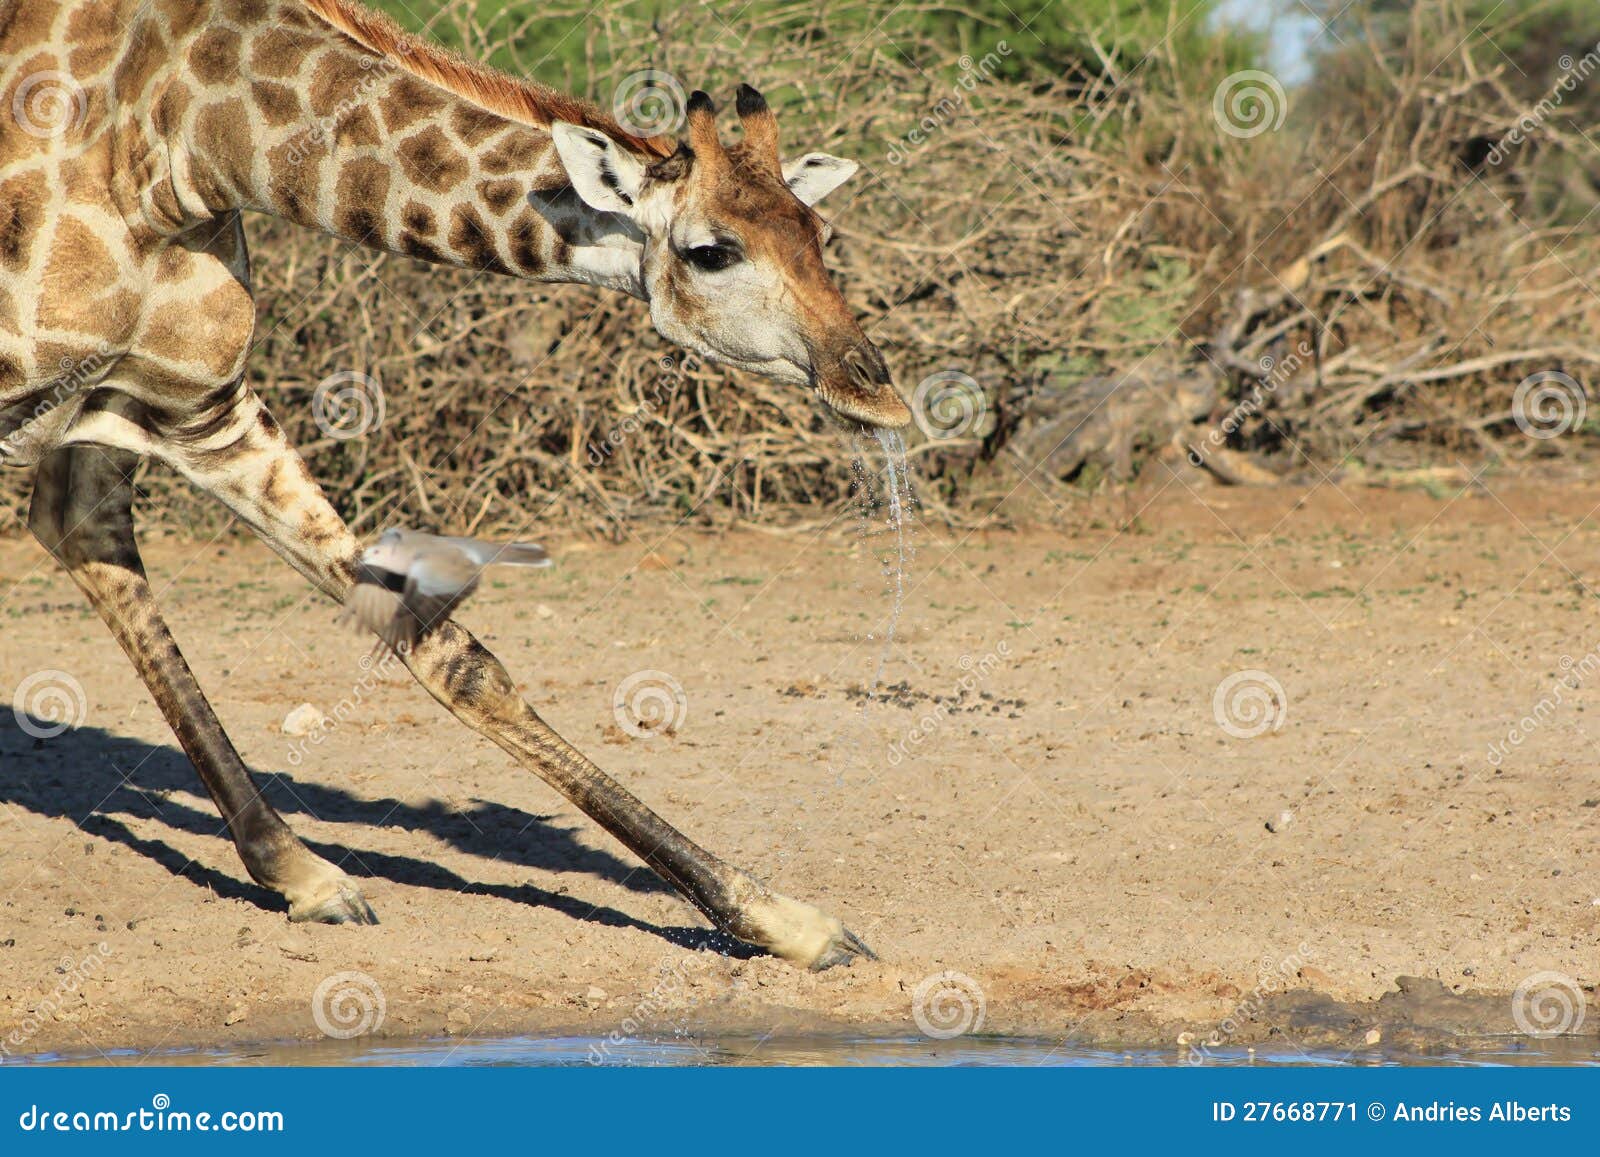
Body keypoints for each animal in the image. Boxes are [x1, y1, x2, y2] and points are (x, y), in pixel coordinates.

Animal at [0, 0, 910, 969]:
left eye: (817, 236)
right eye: (711, 251)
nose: (876, 390)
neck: (188, 142)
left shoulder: (198, 404)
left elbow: (454, 654)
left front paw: (789, 921)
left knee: (78, 525)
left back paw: (298, 866)